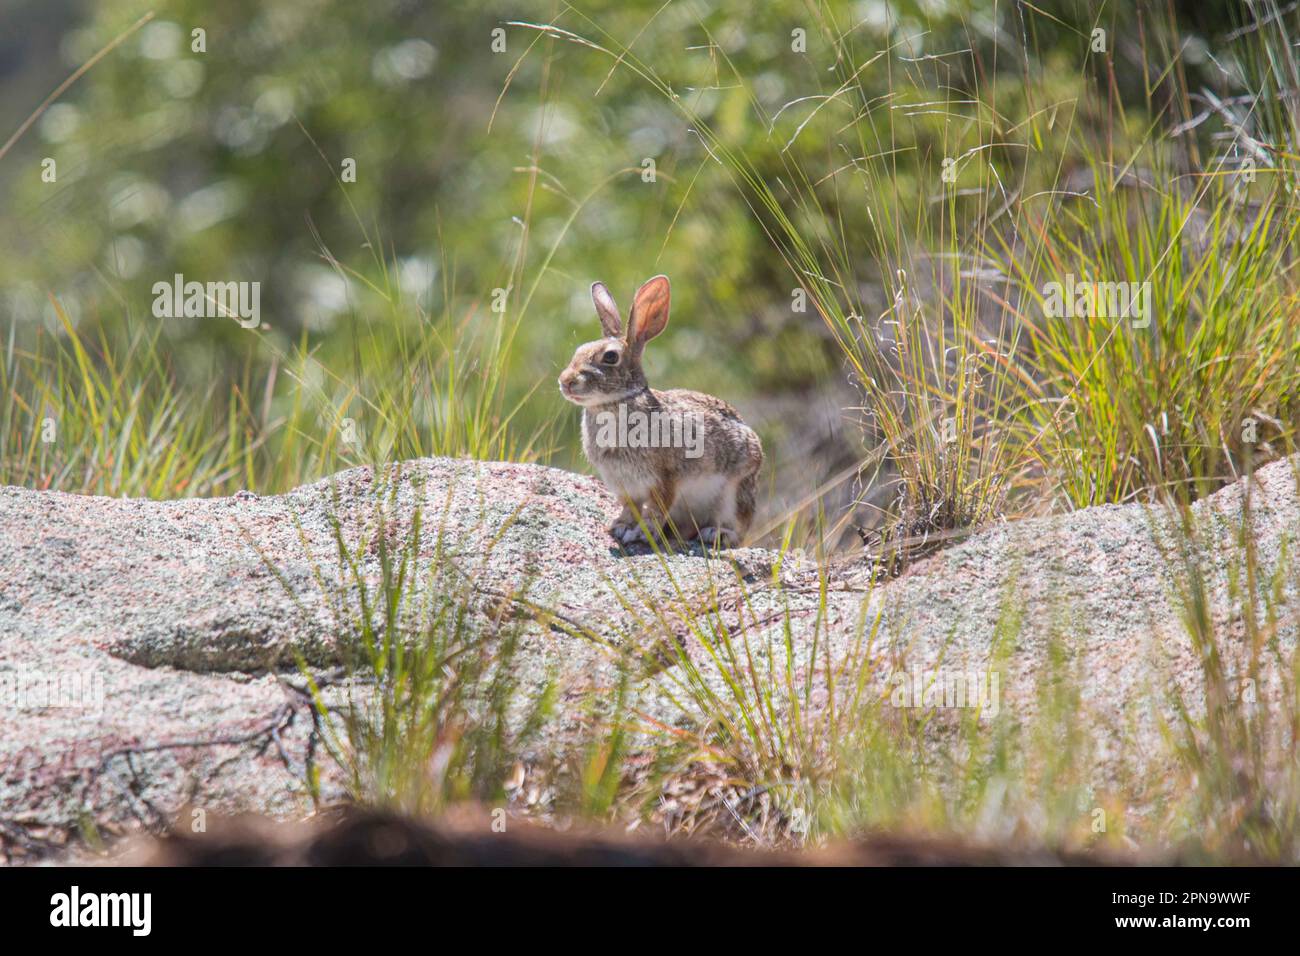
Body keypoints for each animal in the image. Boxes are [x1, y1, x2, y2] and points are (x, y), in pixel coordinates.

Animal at [558, 274, 763, 549]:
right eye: (579, 350)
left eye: (610, 357)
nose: (565, 381)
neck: (619, 401)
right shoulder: (624, 485)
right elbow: (630, 508)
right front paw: (620, 527)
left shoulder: (665, 479)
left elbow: (656, 509)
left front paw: (641, 534)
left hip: (736, 491)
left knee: (738, 528)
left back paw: (717, 534)